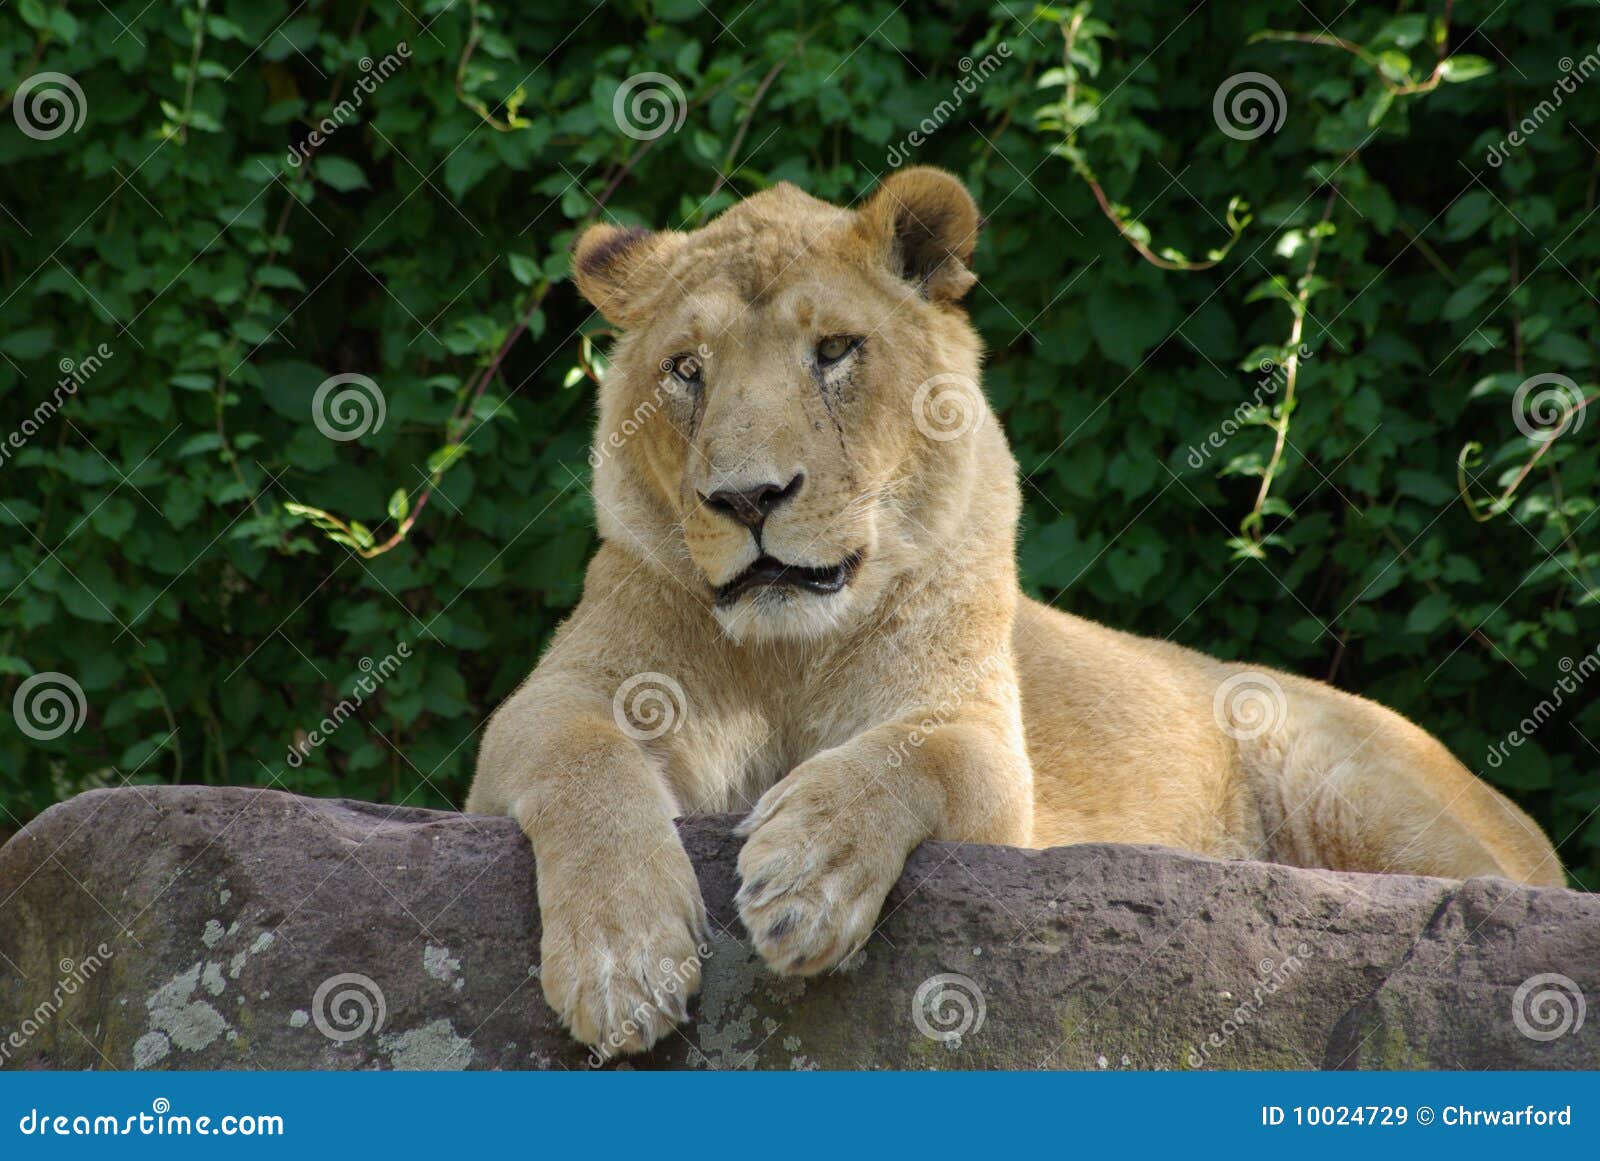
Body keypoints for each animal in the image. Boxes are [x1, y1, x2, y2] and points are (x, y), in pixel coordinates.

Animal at [467, 167, 1564, 1056]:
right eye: (686, 370)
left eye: (835, 350)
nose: (747, 498)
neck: (786, 655)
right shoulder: (549, 707)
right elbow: (587, 762)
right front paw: (622, 962)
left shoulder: (988, 746)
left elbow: (916, 757)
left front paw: (804, 881)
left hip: (1352, 779)